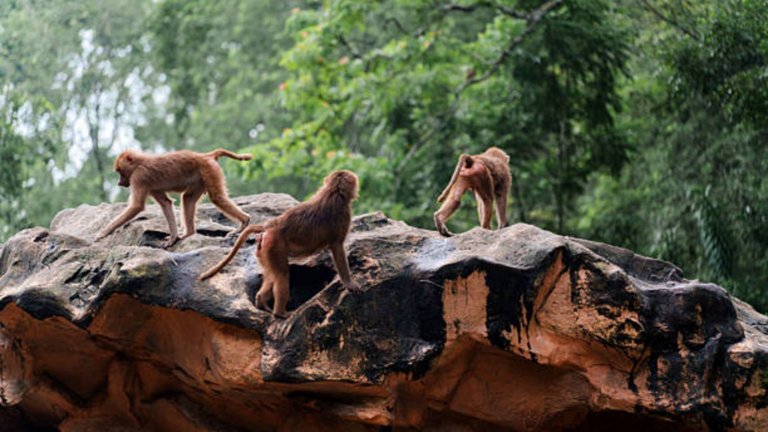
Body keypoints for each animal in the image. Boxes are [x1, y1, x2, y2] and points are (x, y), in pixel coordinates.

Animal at [95, 148, 253, 248]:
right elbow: (166, 203)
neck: (139, 163)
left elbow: (136, 206)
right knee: (187, 198)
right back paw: (188, 234)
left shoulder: (139, 178)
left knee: (217, 197)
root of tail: (204, 156)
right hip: (200, 178)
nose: (119, 182)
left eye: (120, 172)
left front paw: (103, 233)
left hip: (209, 170)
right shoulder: (151, 187)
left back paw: (244, 223)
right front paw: (173, 238)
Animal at [200, 170, 361, 319]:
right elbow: (338, 247)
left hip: (264, 250)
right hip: (274, 247)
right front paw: (349, 283)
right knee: (282, 275)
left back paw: (261, 302)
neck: (333, 192)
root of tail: (270, 227)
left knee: (272, 275)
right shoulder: (343, 213)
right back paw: (280, 313)